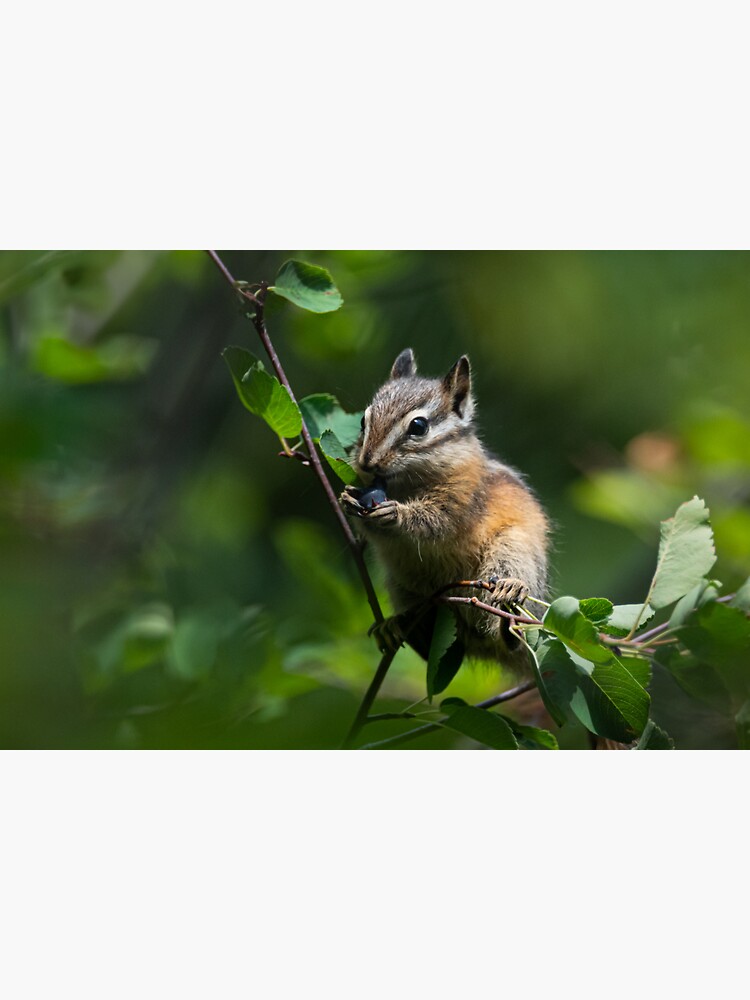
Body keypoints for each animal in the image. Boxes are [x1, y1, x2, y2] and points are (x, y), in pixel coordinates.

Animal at [339, 348, 550, 671]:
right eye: (363, 420)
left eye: (418, 426)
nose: (366, 463)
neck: (406, 486)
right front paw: (348, 499)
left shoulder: (461, 501)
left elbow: (435, 522)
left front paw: (396, 514)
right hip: (400, 585)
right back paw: (396, 627)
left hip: (512, 550)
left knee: (510, 631)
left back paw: (511, 598)